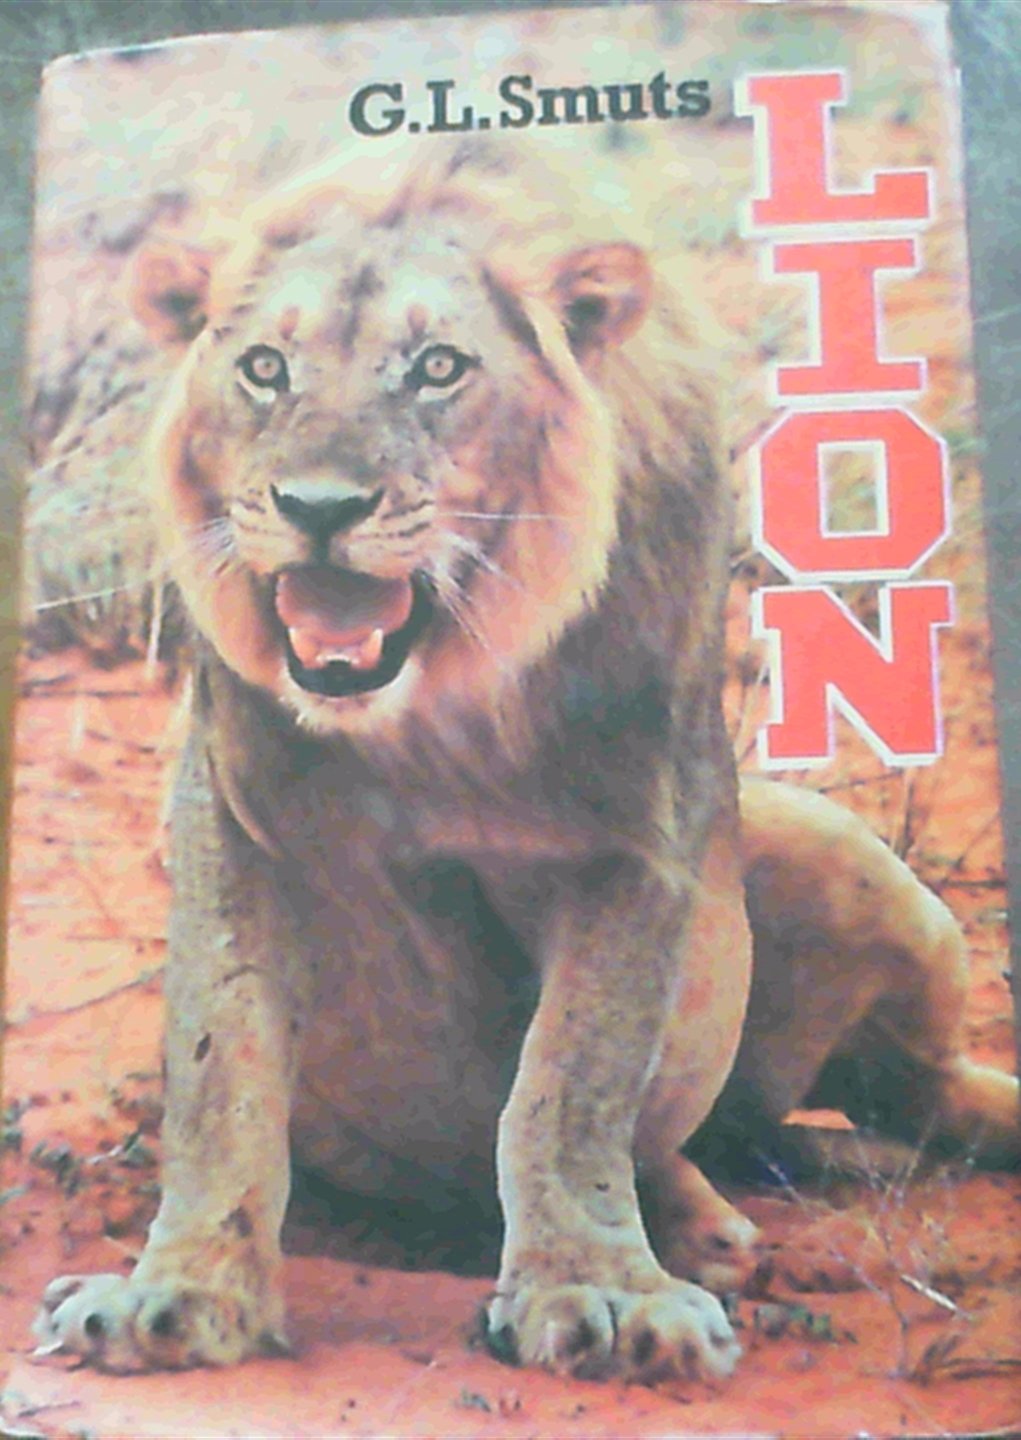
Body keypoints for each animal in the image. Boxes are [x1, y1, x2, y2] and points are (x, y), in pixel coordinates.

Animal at [34, 144, 1018, 1381]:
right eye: (264, 368)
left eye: (437, 368)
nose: (318, 507)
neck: (430, 709)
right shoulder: (236, 808)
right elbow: (223, 1067)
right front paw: (179, 1296)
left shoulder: (634, 831)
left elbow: (569, 1080)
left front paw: (597, 1290)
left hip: (852, 863)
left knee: (910, 1087)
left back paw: (715, 1222)